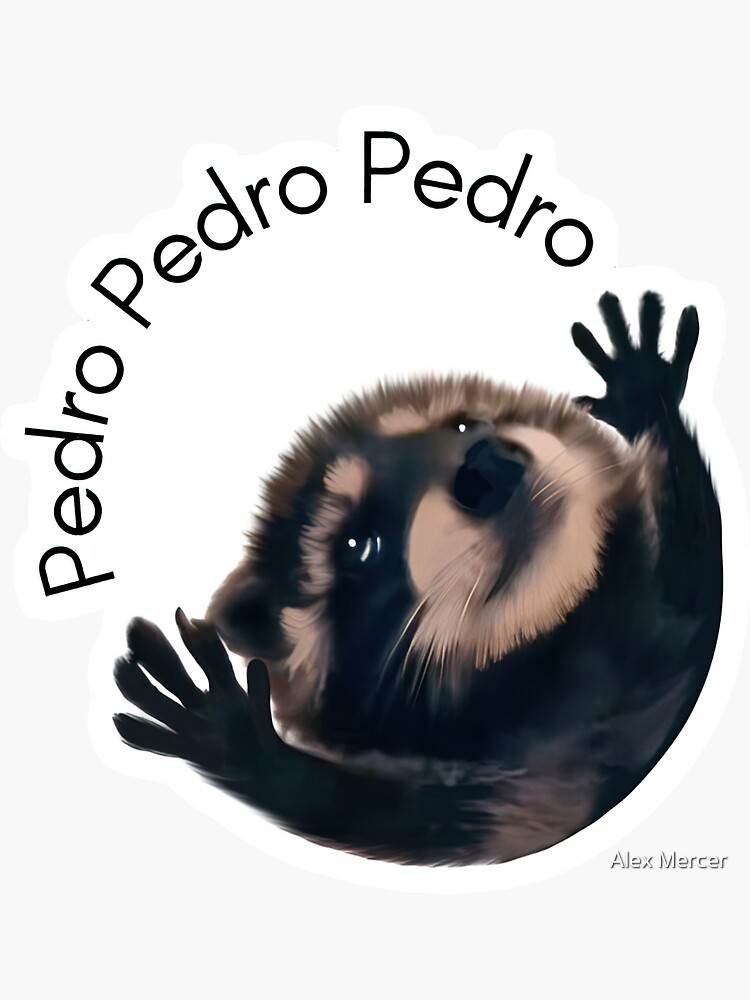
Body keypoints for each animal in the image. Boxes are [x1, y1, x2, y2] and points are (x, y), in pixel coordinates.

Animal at [114, 292, 722, 865]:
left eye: (463, 424)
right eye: (359, 548)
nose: (486, 468)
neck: (554, 646)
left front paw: (648, 399)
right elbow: (398, 821)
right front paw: (245, 744)